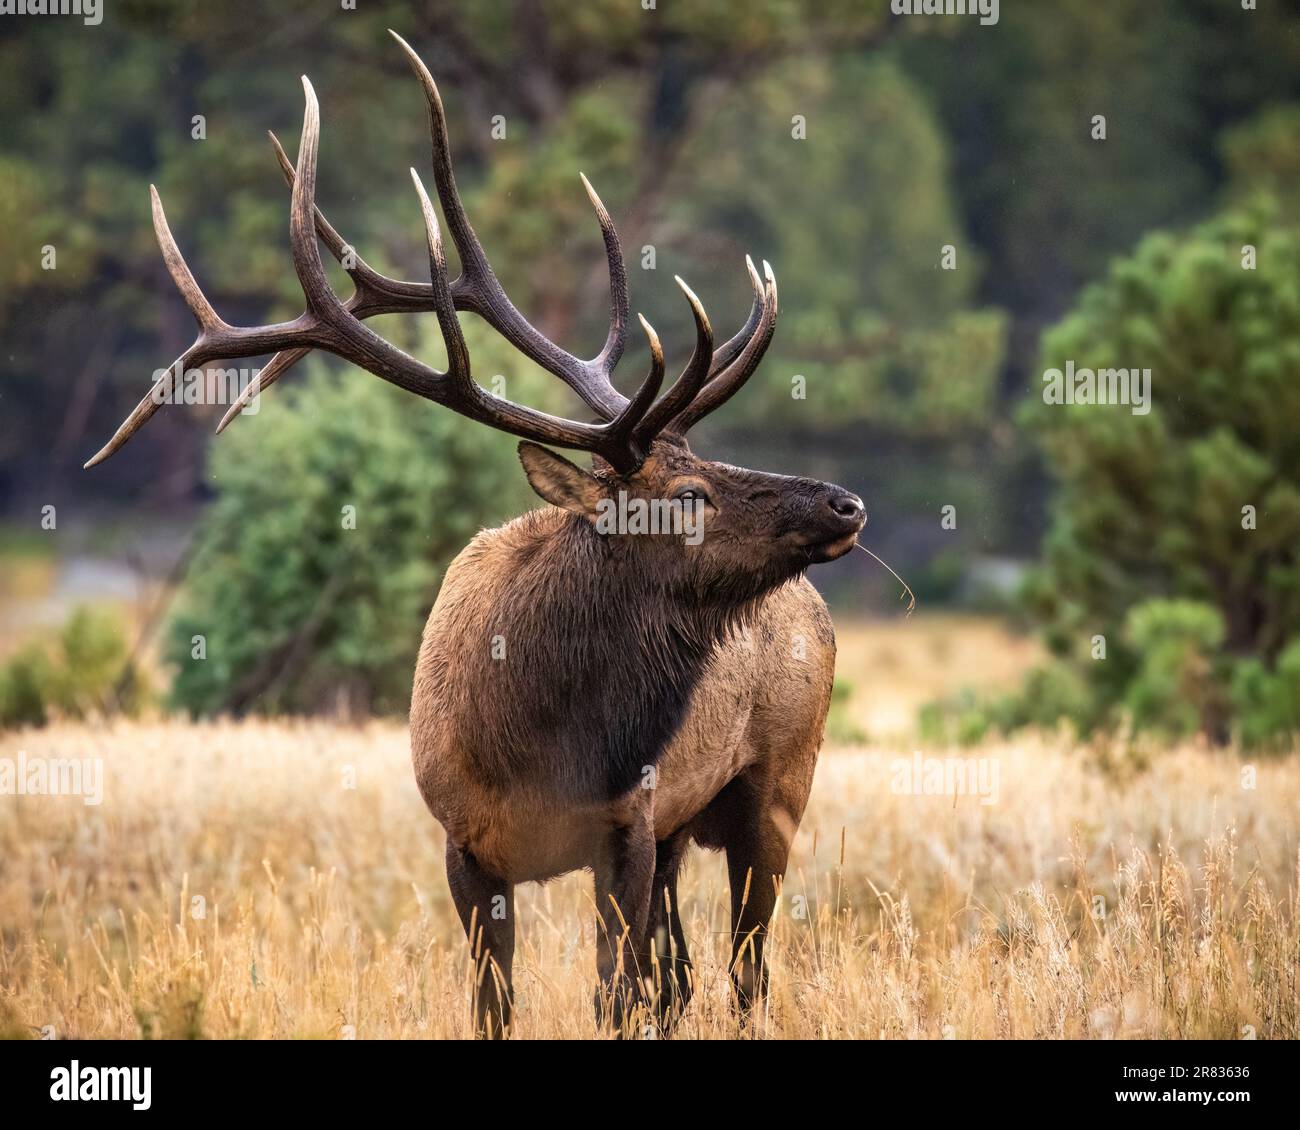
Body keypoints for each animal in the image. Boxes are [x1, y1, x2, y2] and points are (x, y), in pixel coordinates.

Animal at [86, 32, 868, 1038]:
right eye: (691, 492)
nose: (844, 505)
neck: (542, 741)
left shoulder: (627, 827)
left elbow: (614, 996)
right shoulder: (465, 843)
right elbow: (500, 1002)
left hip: (778, 785)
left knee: (745, 971)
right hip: (693, 828)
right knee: (691, 978)